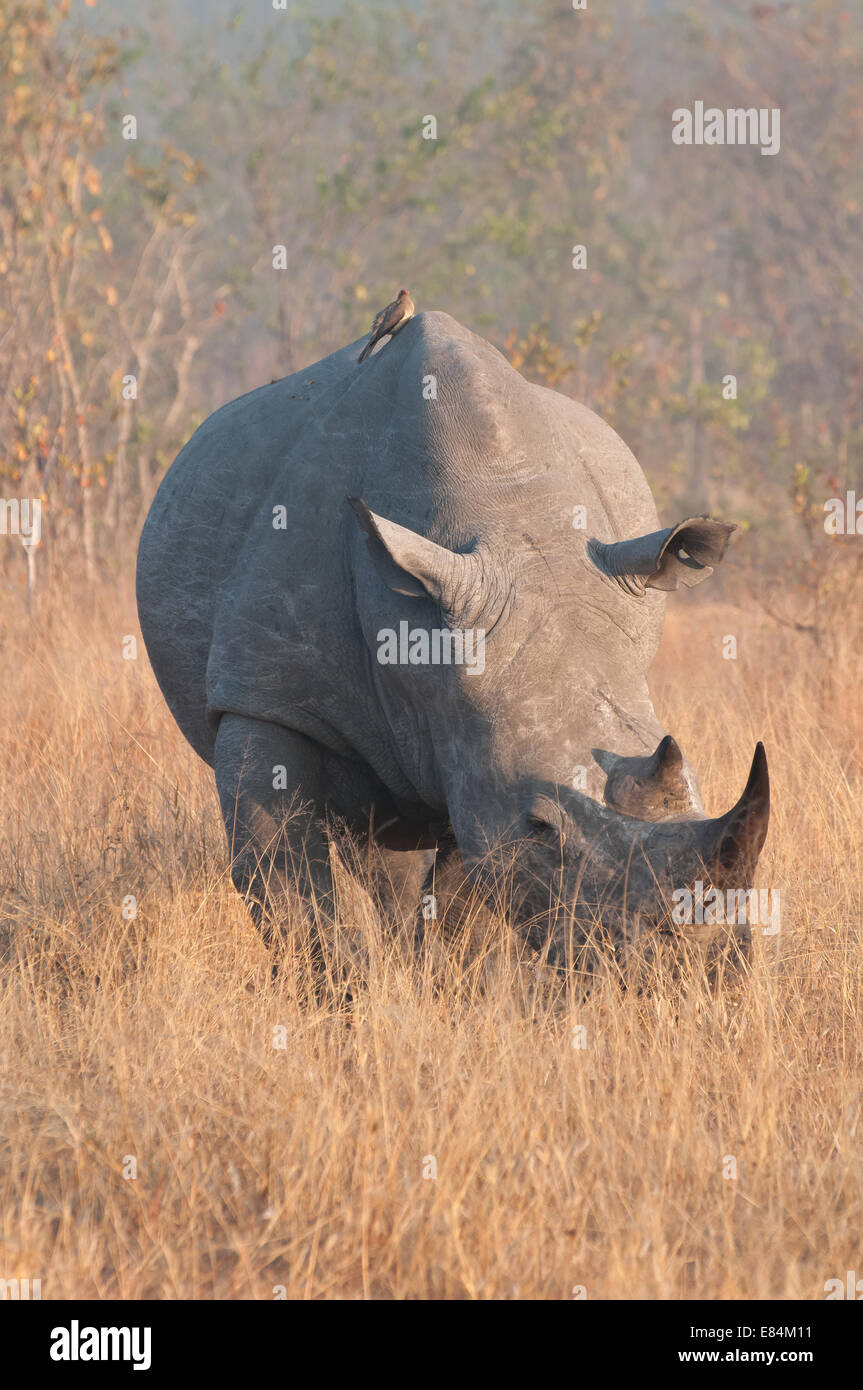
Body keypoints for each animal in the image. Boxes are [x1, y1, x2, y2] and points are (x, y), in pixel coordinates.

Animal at [136, 311, 769, 973]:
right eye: (539, 827)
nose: (698, 965)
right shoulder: (268, 697)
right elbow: (288, 892)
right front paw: (349, 992)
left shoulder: (472, 731)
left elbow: (465, 902)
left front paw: (446, 981)